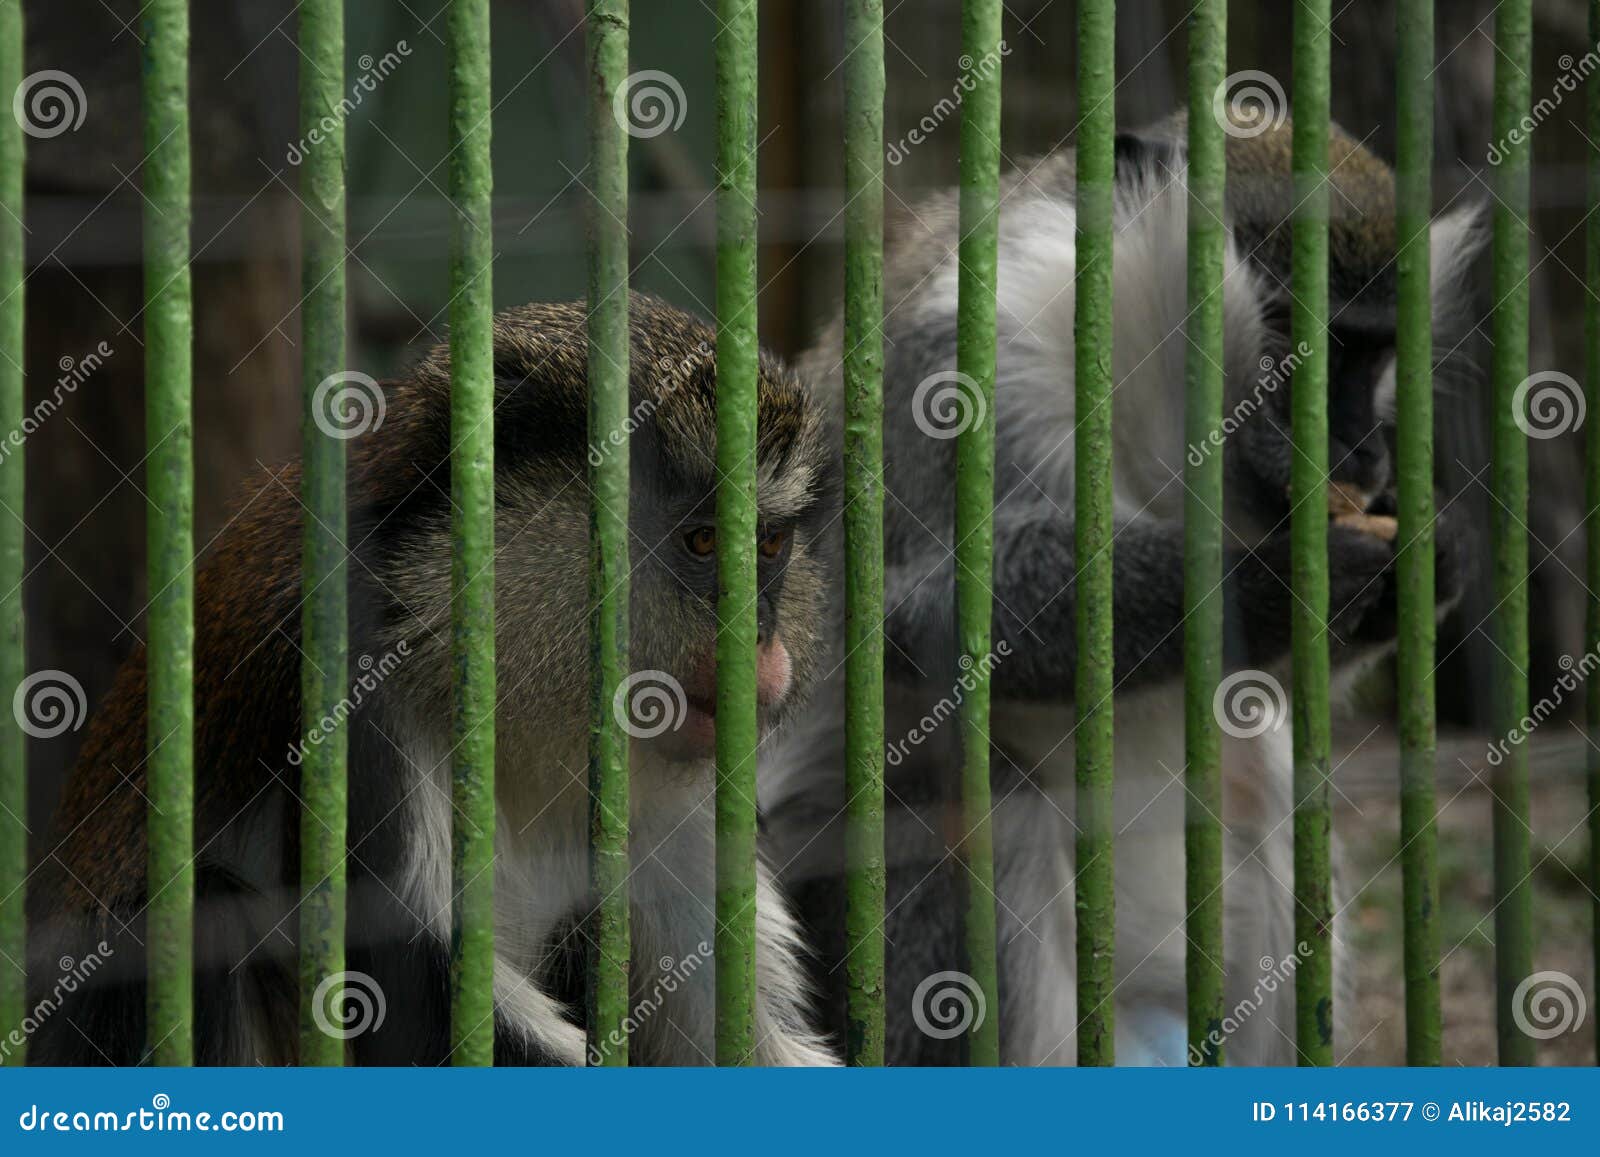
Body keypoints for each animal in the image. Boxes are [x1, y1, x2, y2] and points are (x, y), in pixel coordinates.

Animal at [761, 112, 1484, 1066]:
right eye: (1301, 337)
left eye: (1374, 353)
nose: (1364, 453)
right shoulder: (968, 355)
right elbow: (921, 615)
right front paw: (1283, 576)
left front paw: (1427, 549)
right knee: (985, 804)